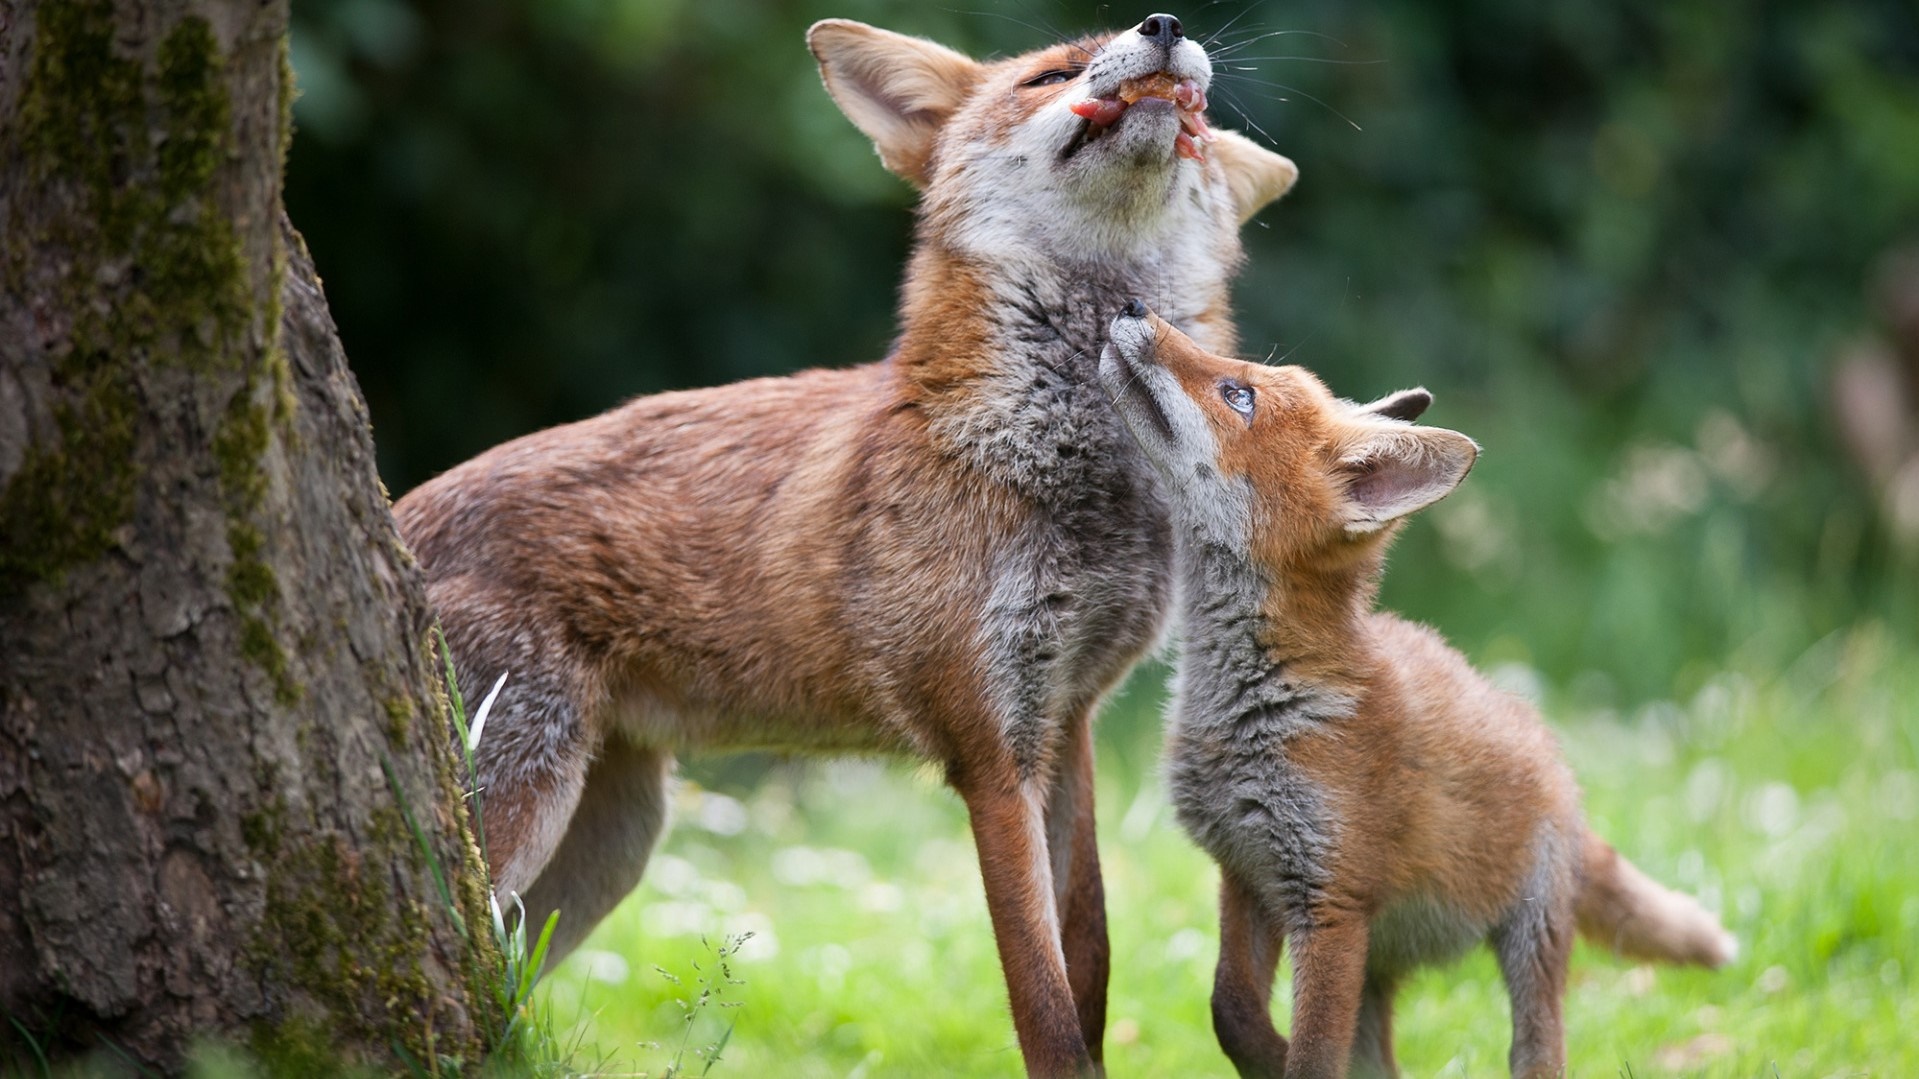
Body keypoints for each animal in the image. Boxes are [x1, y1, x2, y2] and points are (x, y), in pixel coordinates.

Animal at [391, 14, 1301, 1076]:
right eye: (1050, 75)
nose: (1163, 27)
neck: (1068, 479)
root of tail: (395, 514)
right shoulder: (987, 752)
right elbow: (1043, 1005)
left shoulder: (1064, 720)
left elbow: (1090, 963)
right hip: (525, 811)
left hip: (604, 848)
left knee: (506, 989)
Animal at [1094, 307, 1737, 1079]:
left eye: (1237, 394)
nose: (1132, 308)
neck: (1259, 706)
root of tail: (1540, 736)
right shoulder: (1247, 872)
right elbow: (1231, 1010)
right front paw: (1265, 1054)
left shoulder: (1330, 903)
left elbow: (1311, 1058)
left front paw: (1287, 1061)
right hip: (1374, 970)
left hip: (1528, 941)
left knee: (1539, 1045)